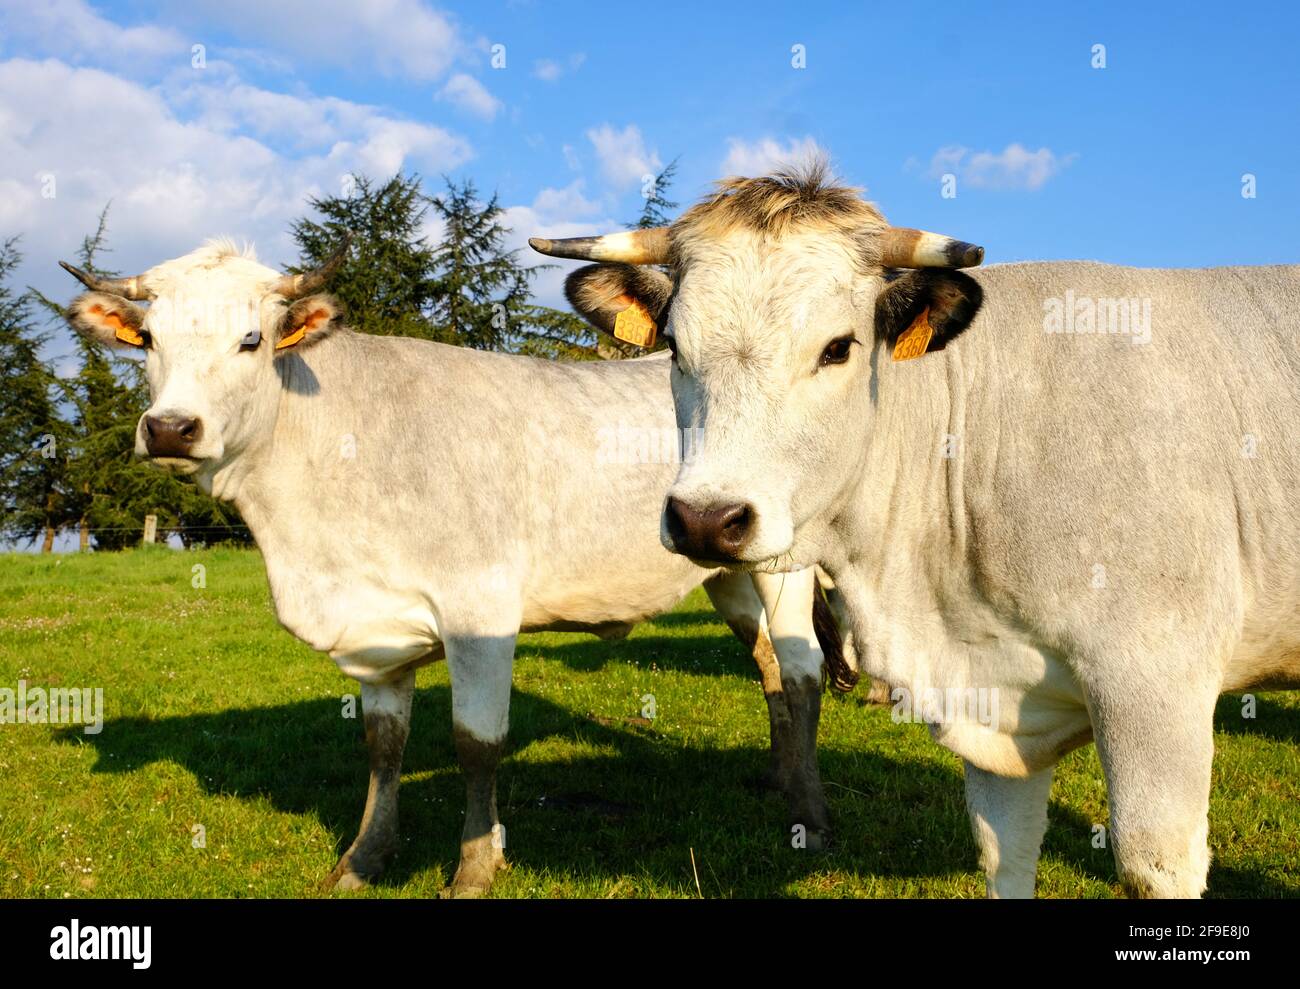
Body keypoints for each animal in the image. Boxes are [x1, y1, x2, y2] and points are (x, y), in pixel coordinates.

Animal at [59, 238, 850, 897]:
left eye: (250, 339)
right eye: (148, 341)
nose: (169, 428)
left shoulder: (481, 611)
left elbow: (477, 745)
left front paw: (473, 867)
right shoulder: (376, 630)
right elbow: (383, 747)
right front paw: (363, 858)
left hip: (785, 565)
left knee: (803, 672)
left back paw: (812, 817)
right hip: (727, 571)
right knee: (767, 663)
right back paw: (780, 777)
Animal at [532, 163, 1300, 898]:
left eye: (838, 348)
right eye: (672, 345)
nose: (705, 519)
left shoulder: (1157, 682)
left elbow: (1154, 864)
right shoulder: (997, 711)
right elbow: (1005, 856)